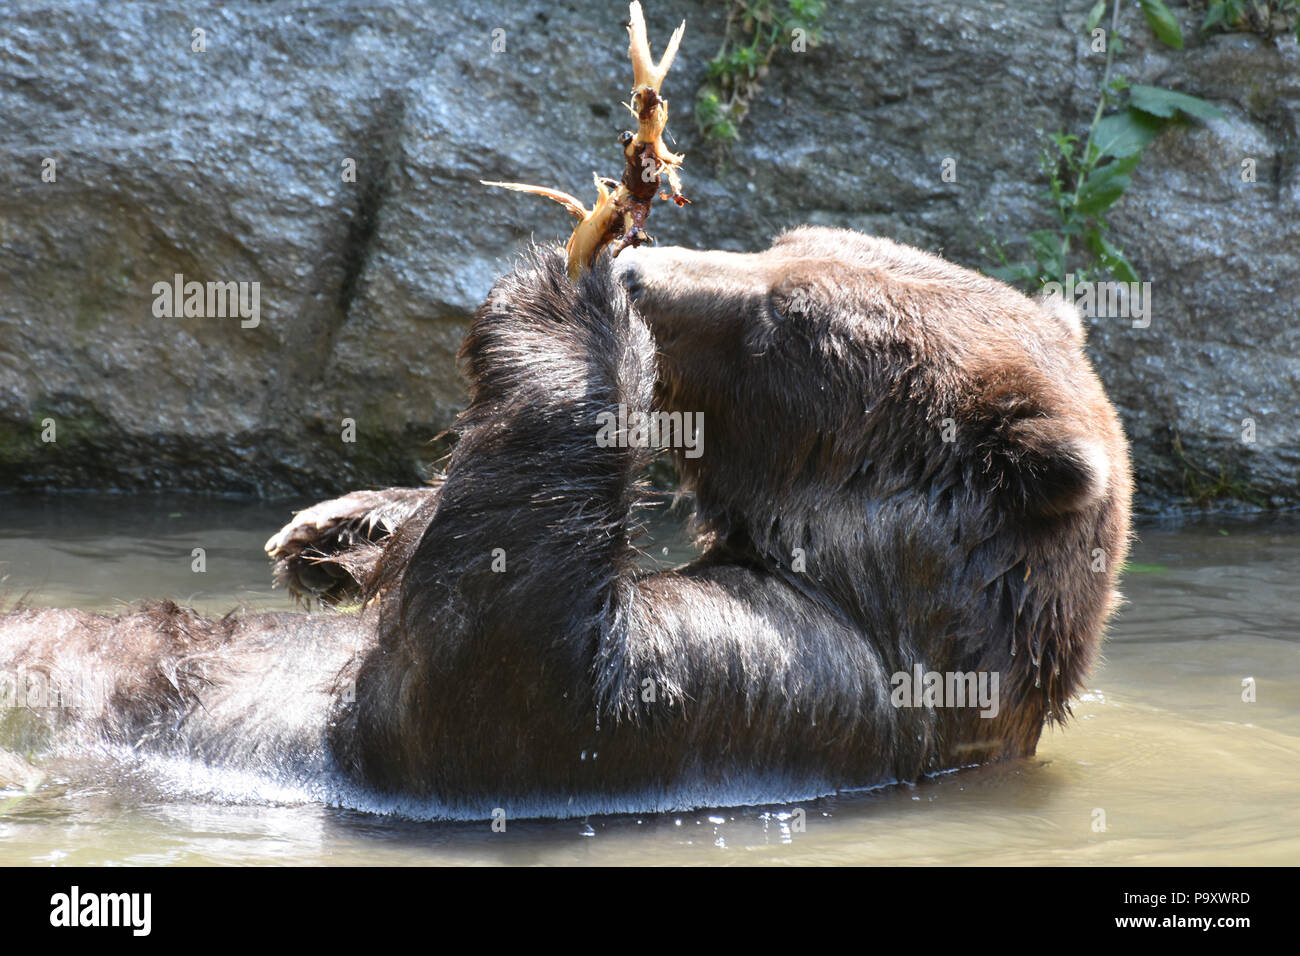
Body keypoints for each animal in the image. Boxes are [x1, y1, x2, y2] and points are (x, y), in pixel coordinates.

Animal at [0, 227, 1132, 819]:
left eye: (789, 314)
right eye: (786, 243)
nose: (642, 264)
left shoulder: (794, 683)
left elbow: (505, 686)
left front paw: (562, 297)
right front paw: (339, 530)